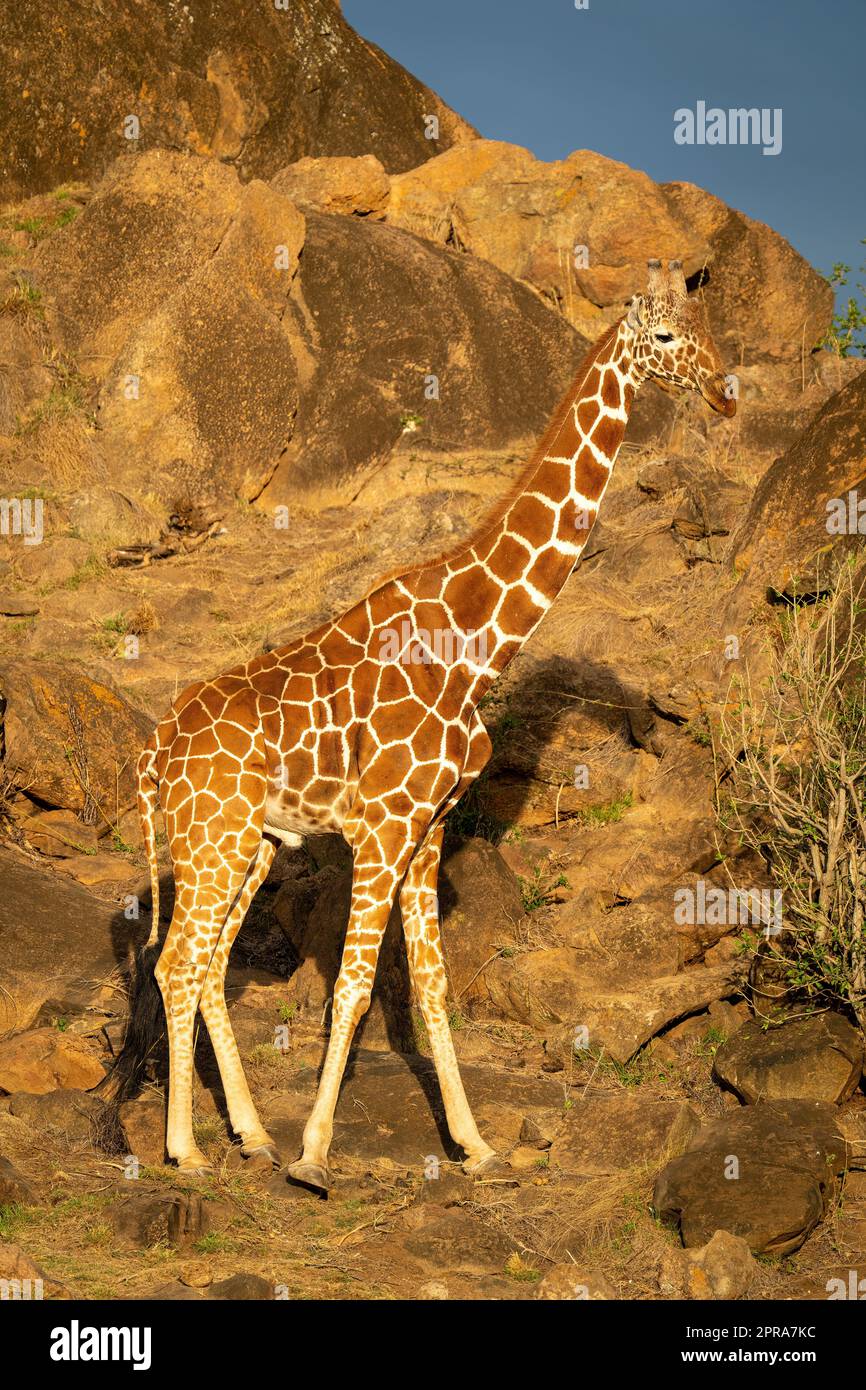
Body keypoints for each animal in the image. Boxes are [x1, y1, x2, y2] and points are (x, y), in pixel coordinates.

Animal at [119, 259, 735, 1190]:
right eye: (665, 336)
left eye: (707, 327)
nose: (726, 394)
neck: (476, 644)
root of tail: (156, 747)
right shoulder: (382, 828)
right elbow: (353, 987)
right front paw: (316, 1157)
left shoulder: (428, 829)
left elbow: (433, 990)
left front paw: (474, 1146)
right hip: (213, 835)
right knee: (176, 961)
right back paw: (187, 1150)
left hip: (247, 844)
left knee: (210, 965)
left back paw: (250, 1136)